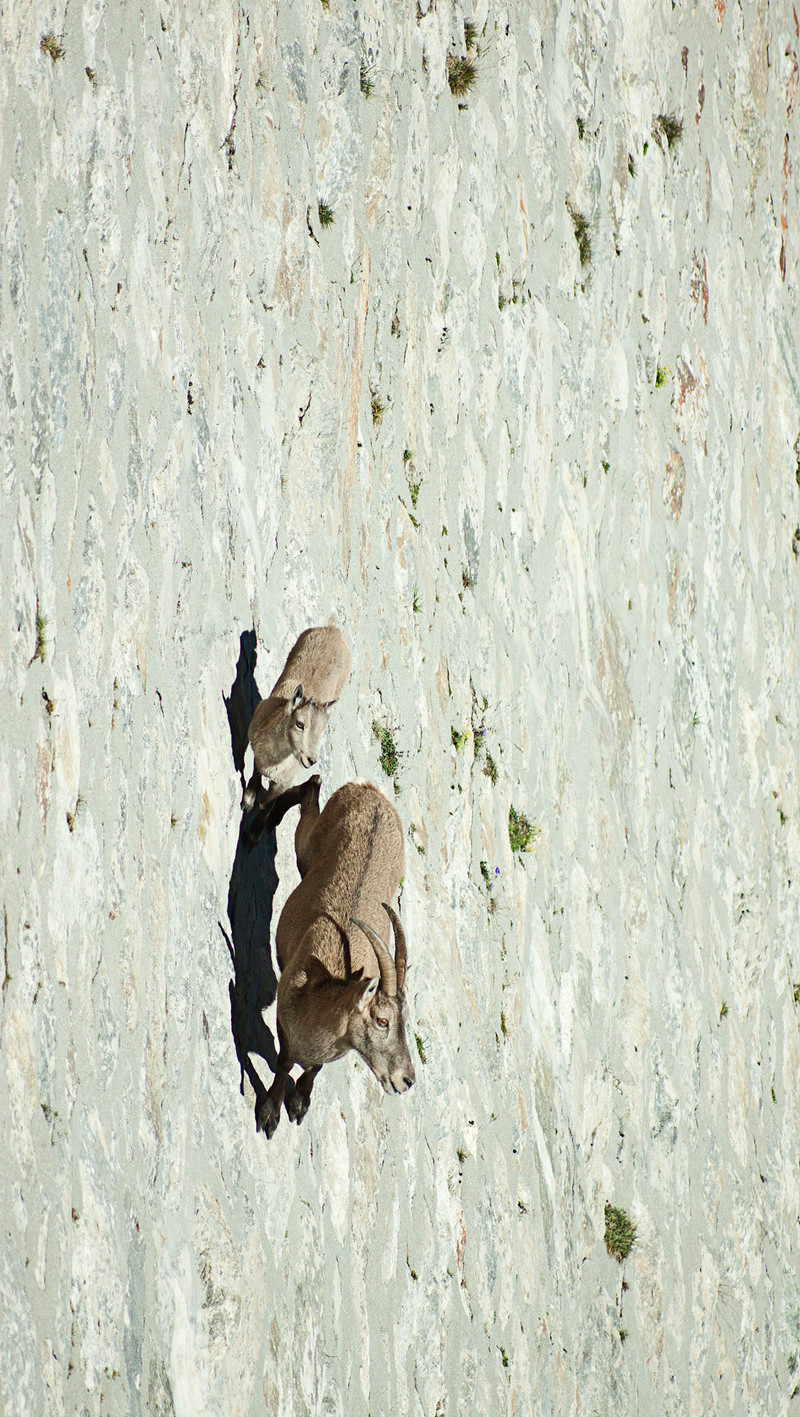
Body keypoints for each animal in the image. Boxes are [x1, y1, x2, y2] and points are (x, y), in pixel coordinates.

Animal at [242, 622, 351, 830]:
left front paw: (252, 833)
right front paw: (248, 801)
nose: (311, 760)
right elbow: (256, 775)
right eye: (300, 724)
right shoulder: (258, 757)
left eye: (322, 732)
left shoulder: (283, 782)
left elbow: (266, 806)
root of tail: (334, 629)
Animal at [257, 776, 415, 1138]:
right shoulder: (284, 1023)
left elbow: (313, 1069)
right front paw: (270, 1113)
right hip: (307, 847)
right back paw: (267, 818)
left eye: (406, 1020)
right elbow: (283, 1062)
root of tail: (370, 791)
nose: (407, 1080)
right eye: (382, 1020)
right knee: (310, 791)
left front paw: (299, 1103)